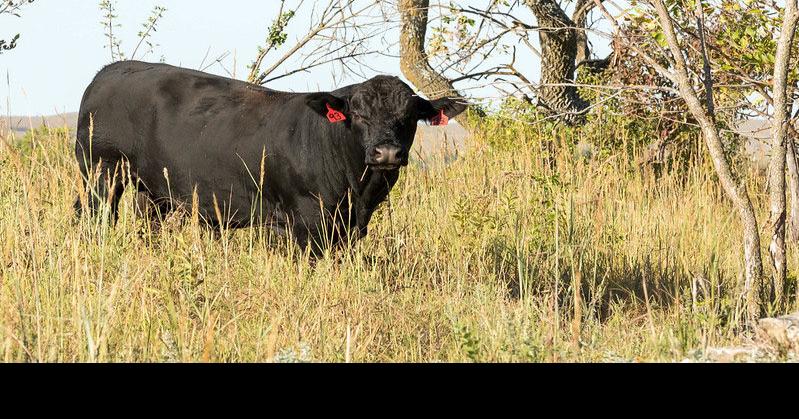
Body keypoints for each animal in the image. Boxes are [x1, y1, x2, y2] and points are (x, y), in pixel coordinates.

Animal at [74, 60, 467, 254]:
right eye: (358, 114)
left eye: (409, 116)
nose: (387, 152)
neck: (358, 192)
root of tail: (108, 72)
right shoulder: (307, 222)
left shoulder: (348, 227)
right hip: (101, 172)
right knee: (93, 218)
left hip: (152, 189)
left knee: (147, 224)